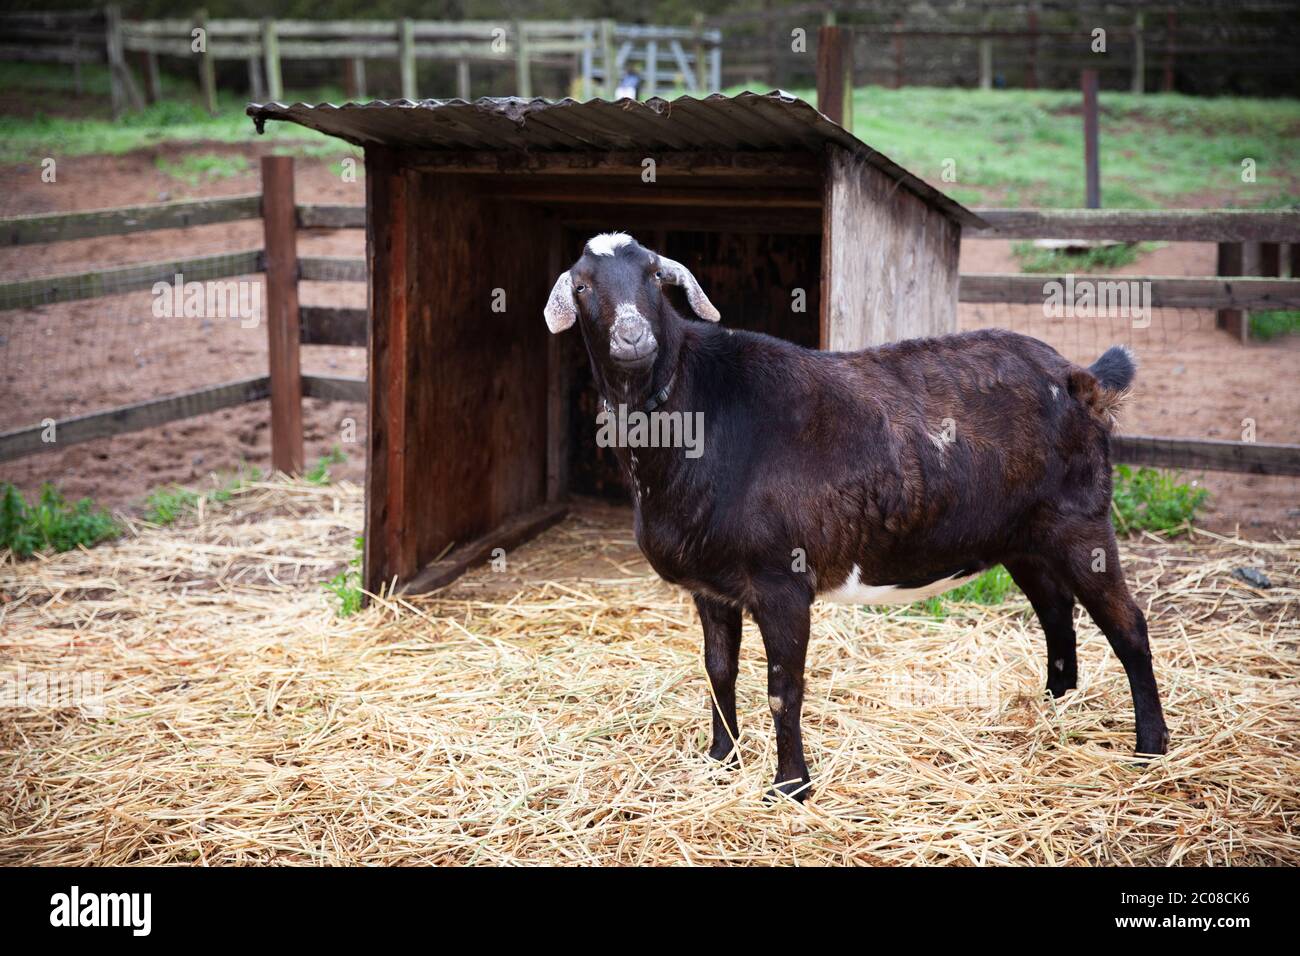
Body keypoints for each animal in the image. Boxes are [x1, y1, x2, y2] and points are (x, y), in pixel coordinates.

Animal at [544, 232, 1169, 801]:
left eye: (654, 276)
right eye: (583, 286)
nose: (632, 336)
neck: (697, 410)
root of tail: (1080, 377)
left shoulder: (781, 581)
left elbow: (783, 689)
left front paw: (790, 787)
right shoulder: (711, 586)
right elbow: (719, 670)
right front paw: (721, 760)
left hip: (1080, 520)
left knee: (1127, 625)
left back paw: (1150, 747)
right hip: (1024, 536)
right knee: (1056, 613)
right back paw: (1052, 707)